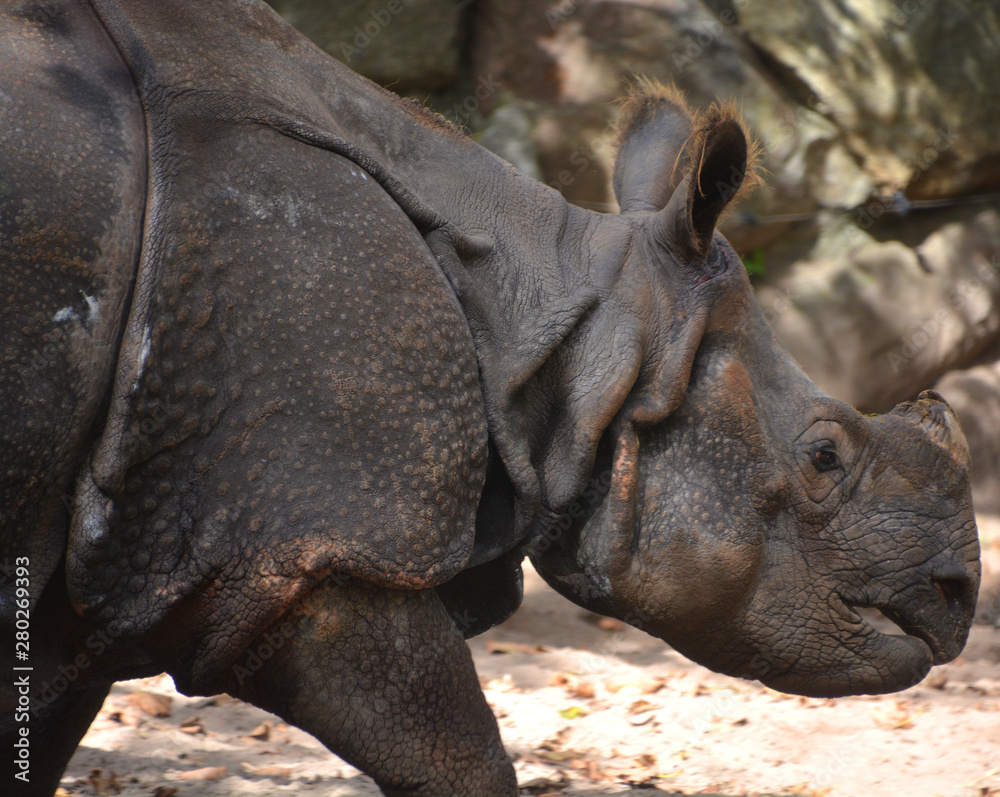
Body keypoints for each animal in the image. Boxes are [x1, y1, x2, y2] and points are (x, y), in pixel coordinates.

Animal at [0, 1, 981, 795]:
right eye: (823, 457)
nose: (958, 593)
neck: (554, 323)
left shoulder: (117, 549)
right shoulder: (301, 542)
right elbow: (460, 754)